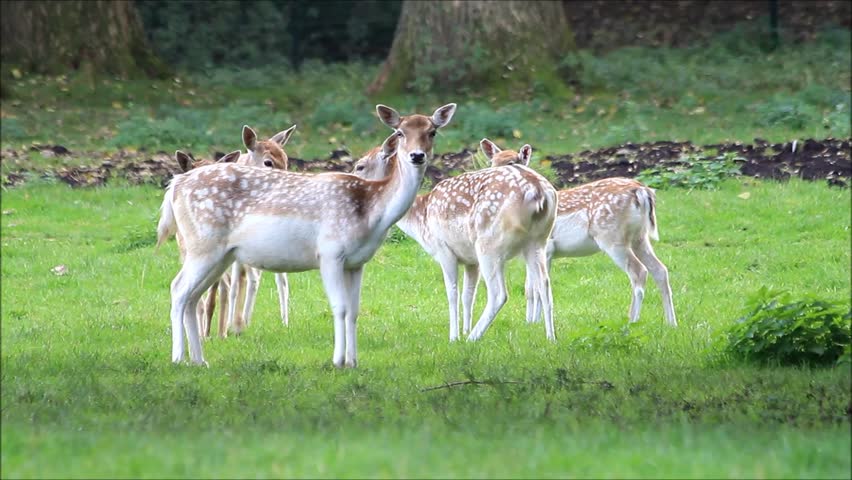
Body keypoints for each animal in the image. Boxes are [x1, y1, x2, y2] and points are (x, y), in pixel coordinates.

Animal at [156, 103, 457, 368]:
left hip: (222, 255)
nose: (417, 156)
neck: (371, 211)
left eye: (432, 131)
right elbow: (340, 307)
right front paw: (337, 361)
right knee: (178, 288)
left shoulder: (357, 262)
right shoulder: (330, 252)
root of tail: (175, 185)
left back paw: (199, 360)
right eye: (400, 132)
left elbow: (354, 311)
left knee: (193, 296)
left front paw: (354, 361)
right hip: (202, 244)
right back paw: (178, 358)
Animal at [353, 117, 558, 342]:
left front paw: (455, 337)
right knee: (544, 285)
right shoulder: (470, 260)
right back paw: (551, 338)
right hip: (537, 240)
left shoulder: (443, 249)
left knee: (499, 294)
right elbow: (468, 295)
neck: (419, 217)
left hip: (489, 243)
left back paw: (473, 338)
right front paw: (464, 329)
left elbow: (452, 293)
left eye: (360, 166)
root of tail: (539, 194)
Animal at [483, 139, 677, 327]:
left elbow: (537, 286)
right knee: (660, 270)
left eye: (511, 163)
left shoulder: (547, 248)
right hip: (639, 237)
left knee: (639, 272)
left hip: (612, 237)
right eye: (492, 162)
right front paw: (530, 323)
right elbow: (529, 288)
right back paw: (671, 324)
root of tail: (642, 191)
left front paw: (535, 323)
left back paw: (631, 322)